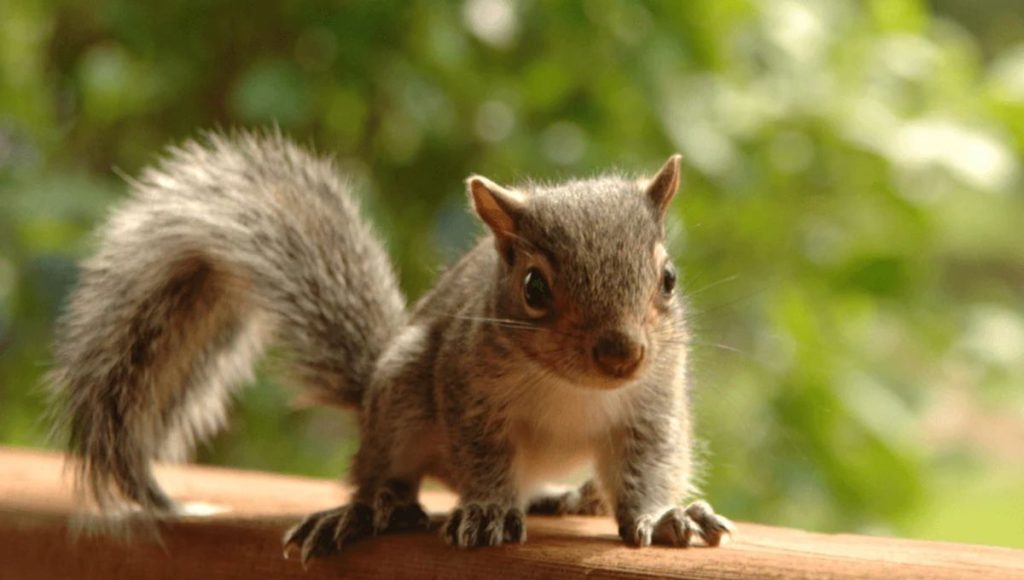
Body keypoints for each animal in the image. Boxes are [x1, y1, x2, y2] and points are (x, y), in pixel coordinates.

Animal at [48, 130, 733, 562]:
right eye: (534, 287)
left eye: (668, 279)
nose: (622, 354)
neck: (571, 387)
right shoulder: (467, 387)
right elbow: (483, 456)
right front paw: (488, 509)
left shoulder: (653, 404)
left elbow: (648, 465)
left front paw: (662, 516)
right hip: (402, 391)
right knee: (382, 473)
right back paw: (373, 511)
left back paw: (570, 497)